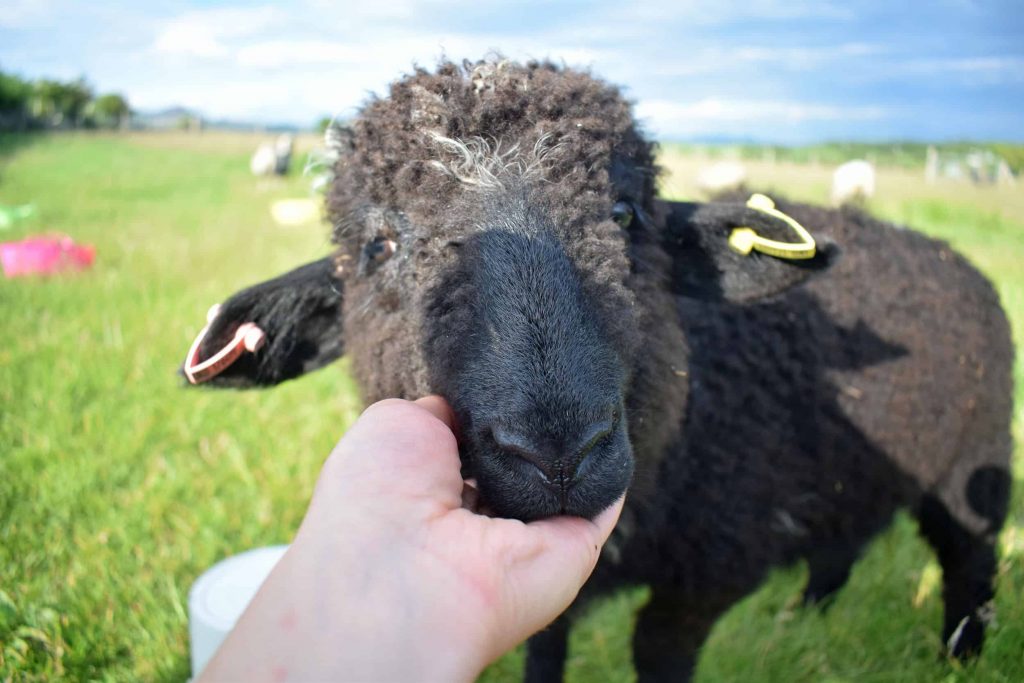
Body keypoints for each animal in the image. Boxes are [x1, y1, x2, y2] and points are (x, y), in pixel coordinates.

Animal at [184, 59, 1014, 682]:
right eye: (378, 246)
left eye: (625, 216)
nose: (556, 453)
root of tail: (949, 252)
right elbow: (545, 645)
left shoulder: (709, 572)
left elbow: (656, 651)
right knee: (842, 544)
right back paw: (801, 618)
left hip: (976, 461)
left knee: (971, 564)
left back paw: (961, 658)